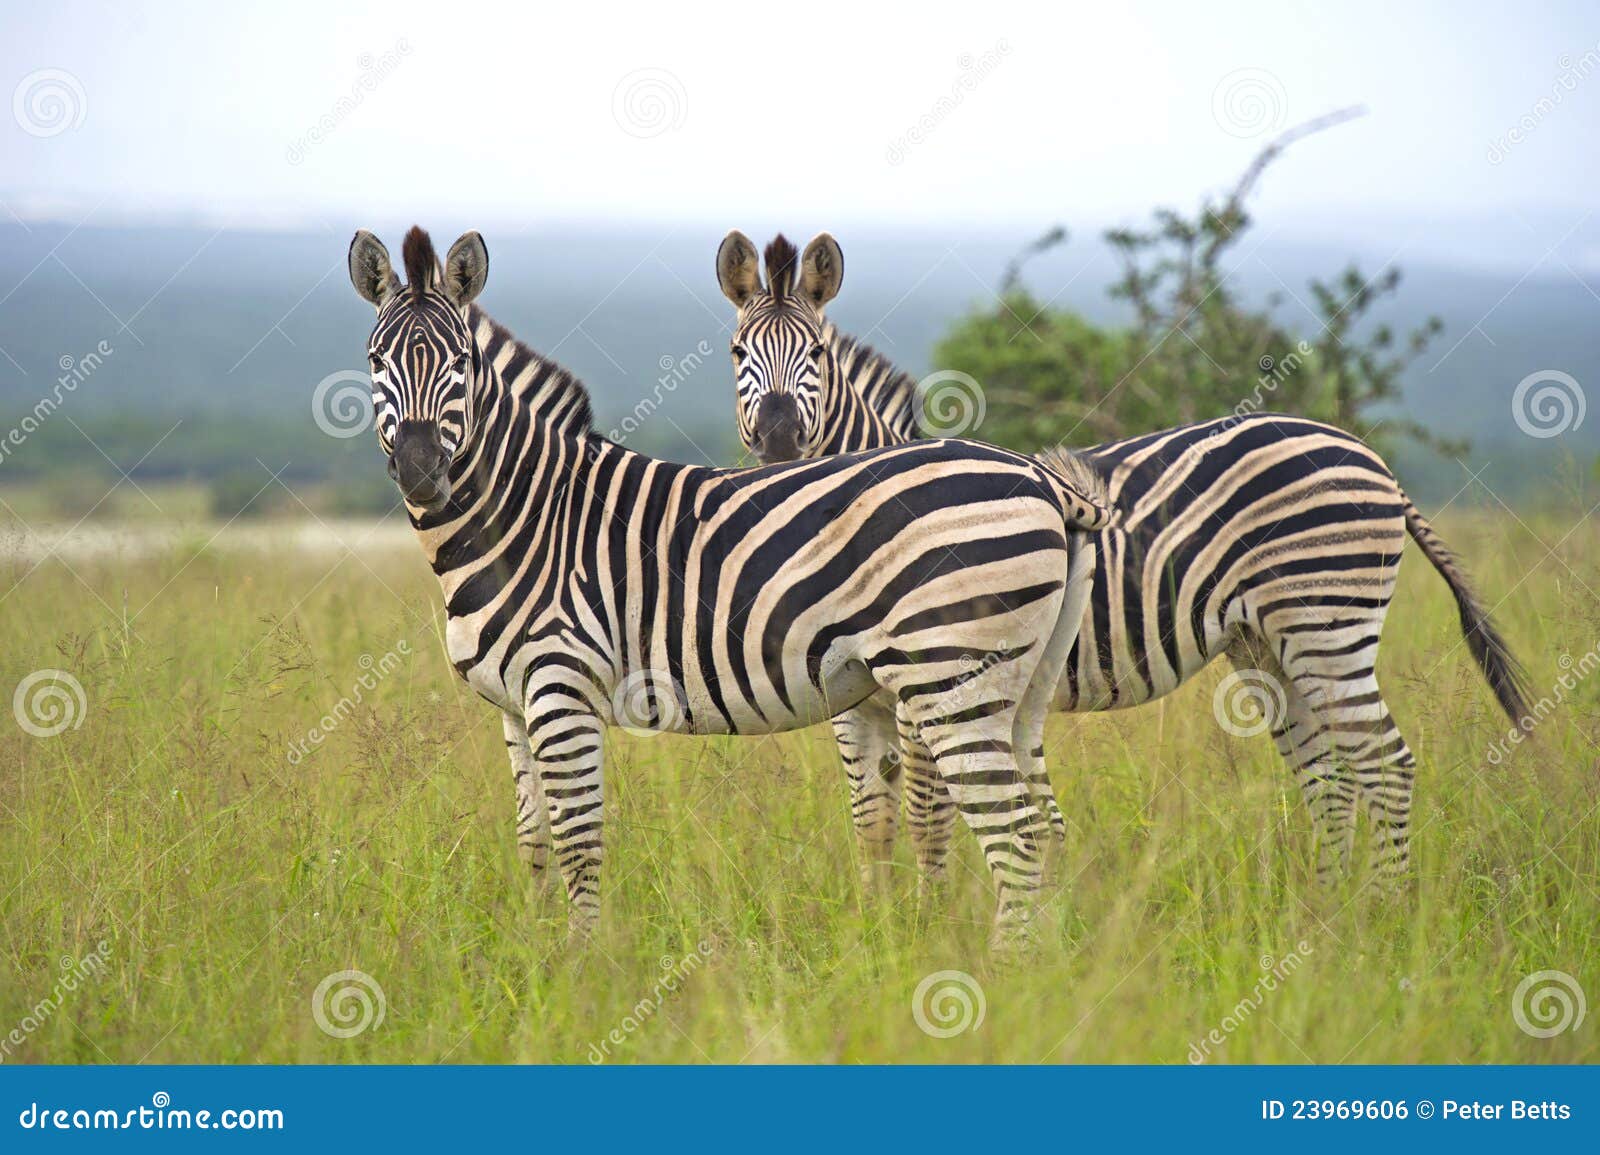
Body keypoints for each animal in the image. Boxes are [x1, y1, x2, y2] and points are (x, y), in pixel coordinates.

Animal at [345, 226, 1110, 942]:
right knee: (1041, 823)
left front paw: (583, 966)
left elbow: (579, 843)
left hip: (949, 677)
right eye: (376, 361)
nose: (420, 471)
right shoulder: (512, 706)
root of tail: (1042, 479)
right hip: (1016, 688)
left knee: (1015, 833)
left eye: (461, 363)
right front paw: (535, 957)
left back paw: (1003, 970)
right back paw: (1041, 960)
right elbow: (533, 842)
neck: (529, 514)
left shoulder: (563, 688)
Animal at [715, 229, 1529, 887]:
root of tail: (1365, 453)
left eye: (817, 354)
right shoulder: (856, 705)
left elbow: (927, 816)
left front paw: (931, 927)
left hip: (1329, 620)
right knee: (1331, 775)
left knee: (1385, 764)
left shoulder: (934, 682)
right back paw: (1329, 914)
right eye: (736, 353)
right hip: (1269, 640)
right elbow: (873, 823)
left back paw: (1381, 912)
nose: (780, 442)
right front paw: (881, 934)